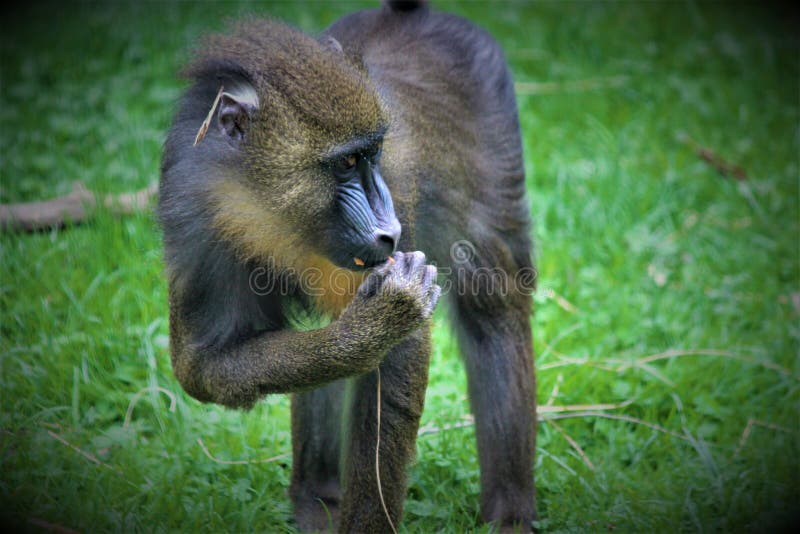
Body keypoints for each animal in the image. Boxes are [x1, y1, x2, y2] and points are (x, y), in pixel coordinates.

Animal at [158, 1, 536, 532]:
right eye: (344, 163)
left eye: (373, 154)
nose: (389, 229)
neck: (266, 206)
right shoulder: (190, 209)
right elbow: (201, 366)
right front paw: (375, 323)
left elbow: (400, 363)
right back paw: (316, 497)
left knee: (493, 308)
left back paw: (510, 511)